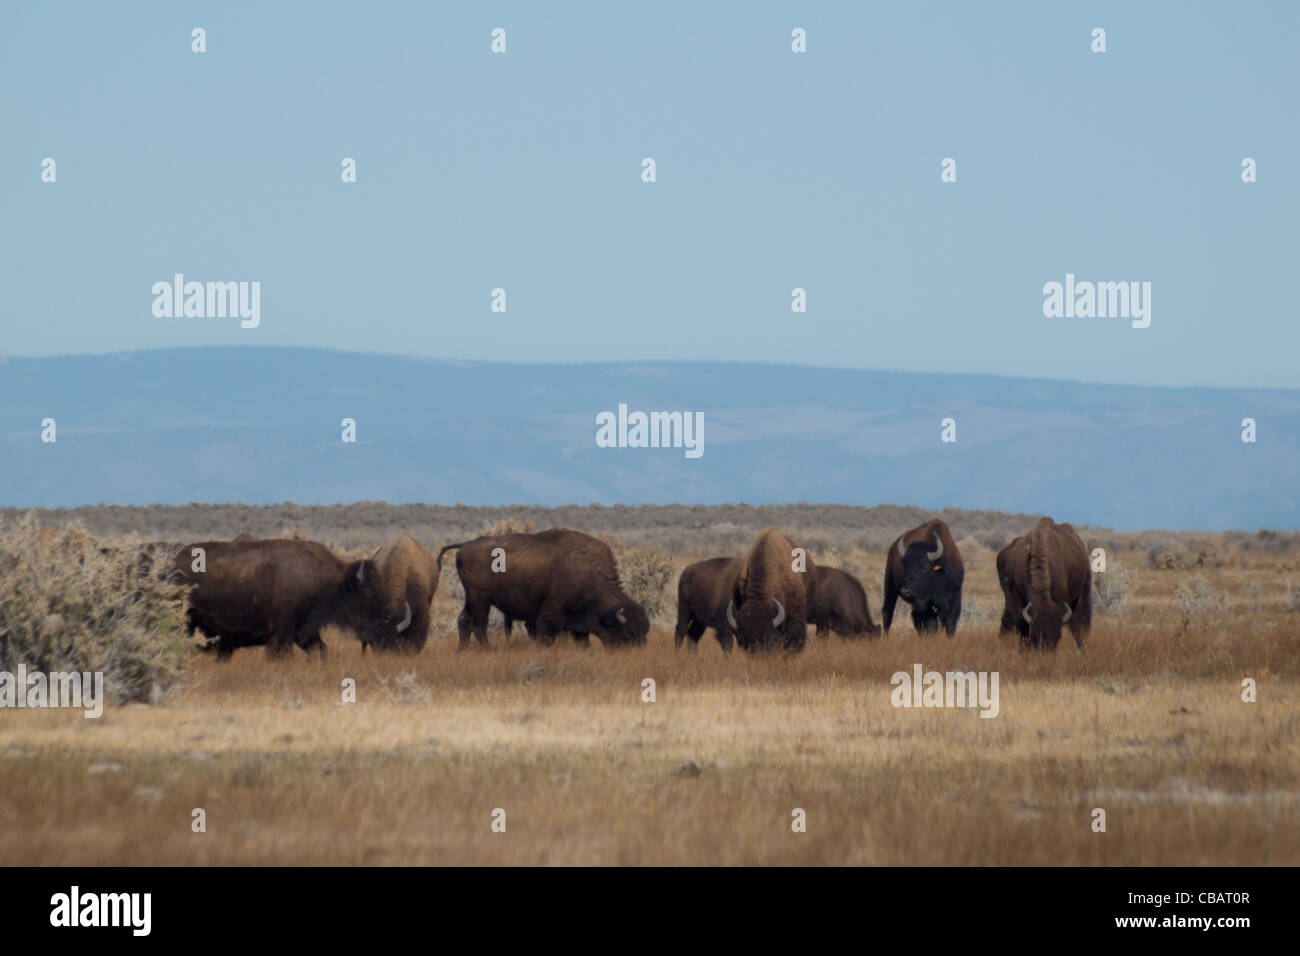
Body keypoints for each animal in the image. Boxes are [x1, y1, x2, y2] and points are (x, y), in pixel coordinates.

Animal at [438, 528, 649, 649]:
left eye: (645, 633)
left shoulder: (578, 624)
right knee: (478, 626)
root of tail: (466, 545)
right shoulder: (551, 613)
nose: (638, 653)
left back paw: (463, 651)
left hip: (472, 599)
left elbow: (582, 641)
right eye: (628, 634)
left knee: (464, 621)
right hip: (480, 598)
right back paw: (488, 650)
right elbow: (546, 636)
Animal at [997, 517, 1092, 650]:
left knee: (1078, 625)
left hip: (1082, 593)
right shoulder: (1016, 599)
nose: (1047, 651)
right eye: (1036, 635)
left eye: (1058, 636)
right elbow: (1021, 624)